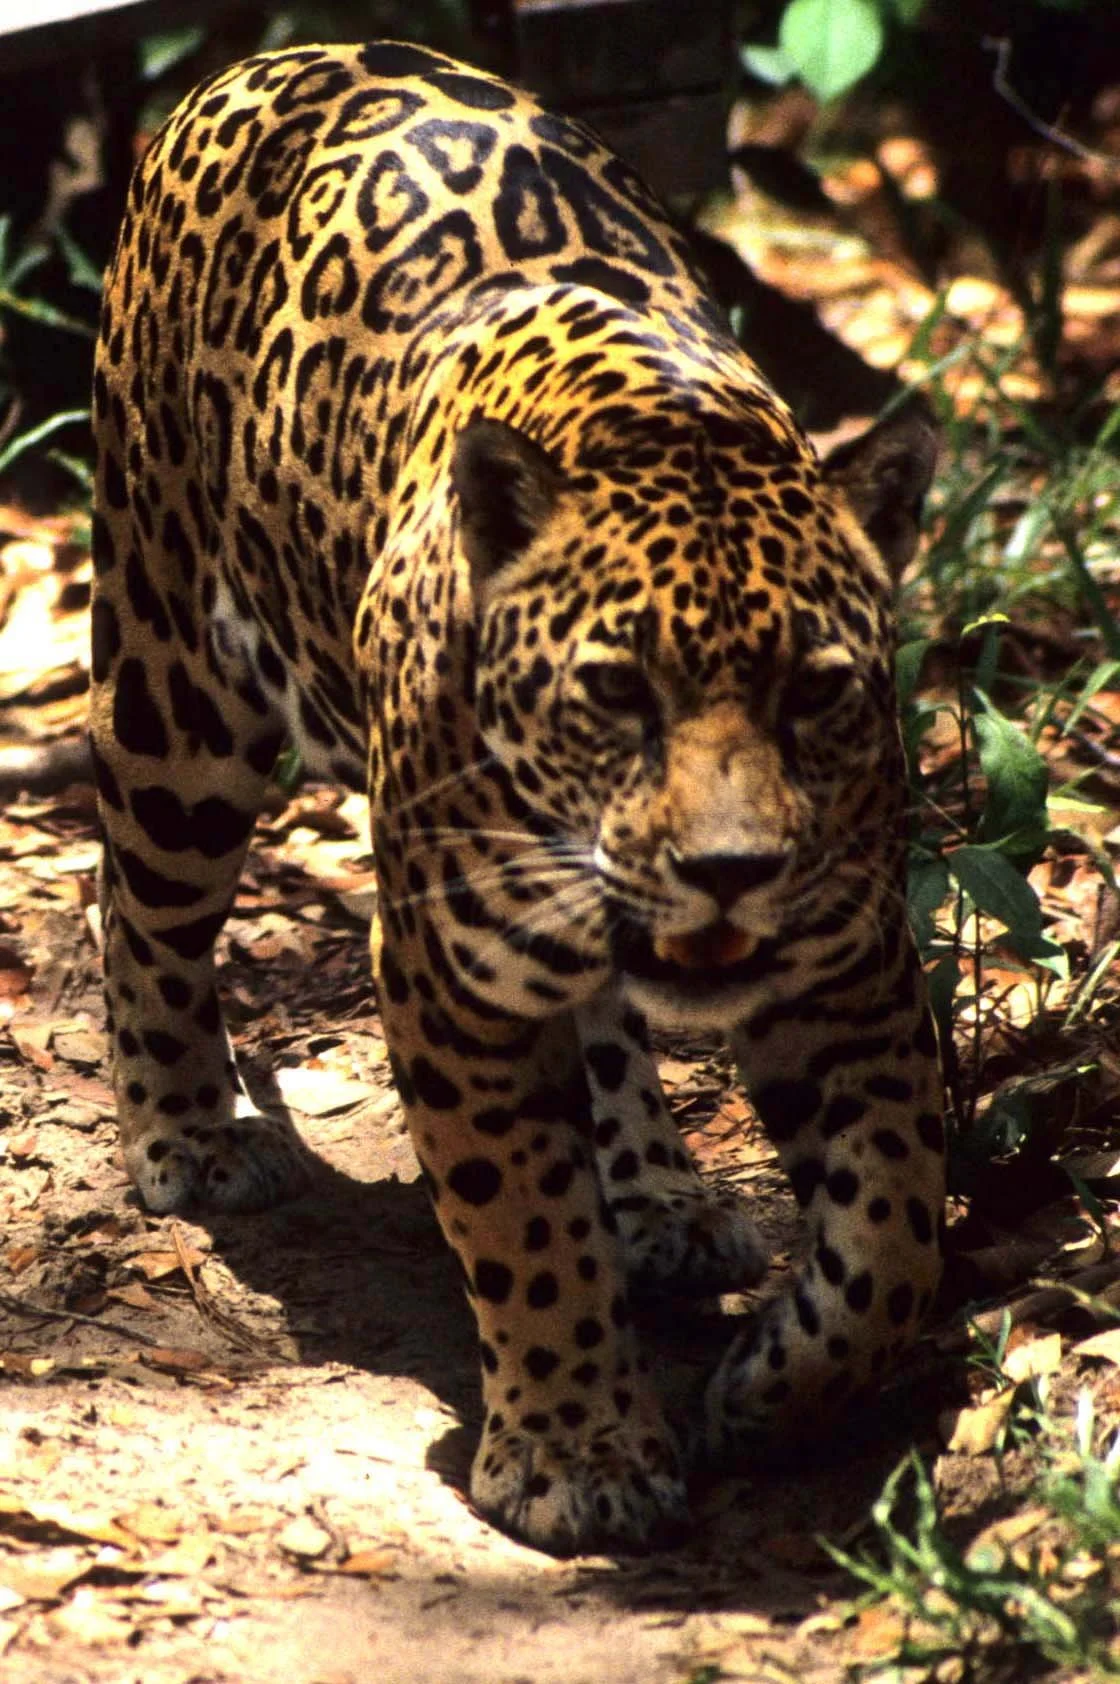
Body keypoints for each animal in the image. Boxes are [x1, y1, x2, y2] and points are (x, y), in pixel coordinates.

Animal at [89, 40, 946, 1557]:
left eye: (815, 692)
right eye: (614, 691)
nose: (730, 872)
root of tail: (260, 62)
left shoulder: (846, 961)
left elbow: (895, 1224)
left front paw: (773, 1392)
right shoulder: (447, 964)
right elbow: (522, 1218)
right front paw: (577, 1454)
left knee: (609, 1022)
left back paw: (658, 1193)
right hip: (178, 689)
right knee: (138, 909)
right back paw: (189, 1135)